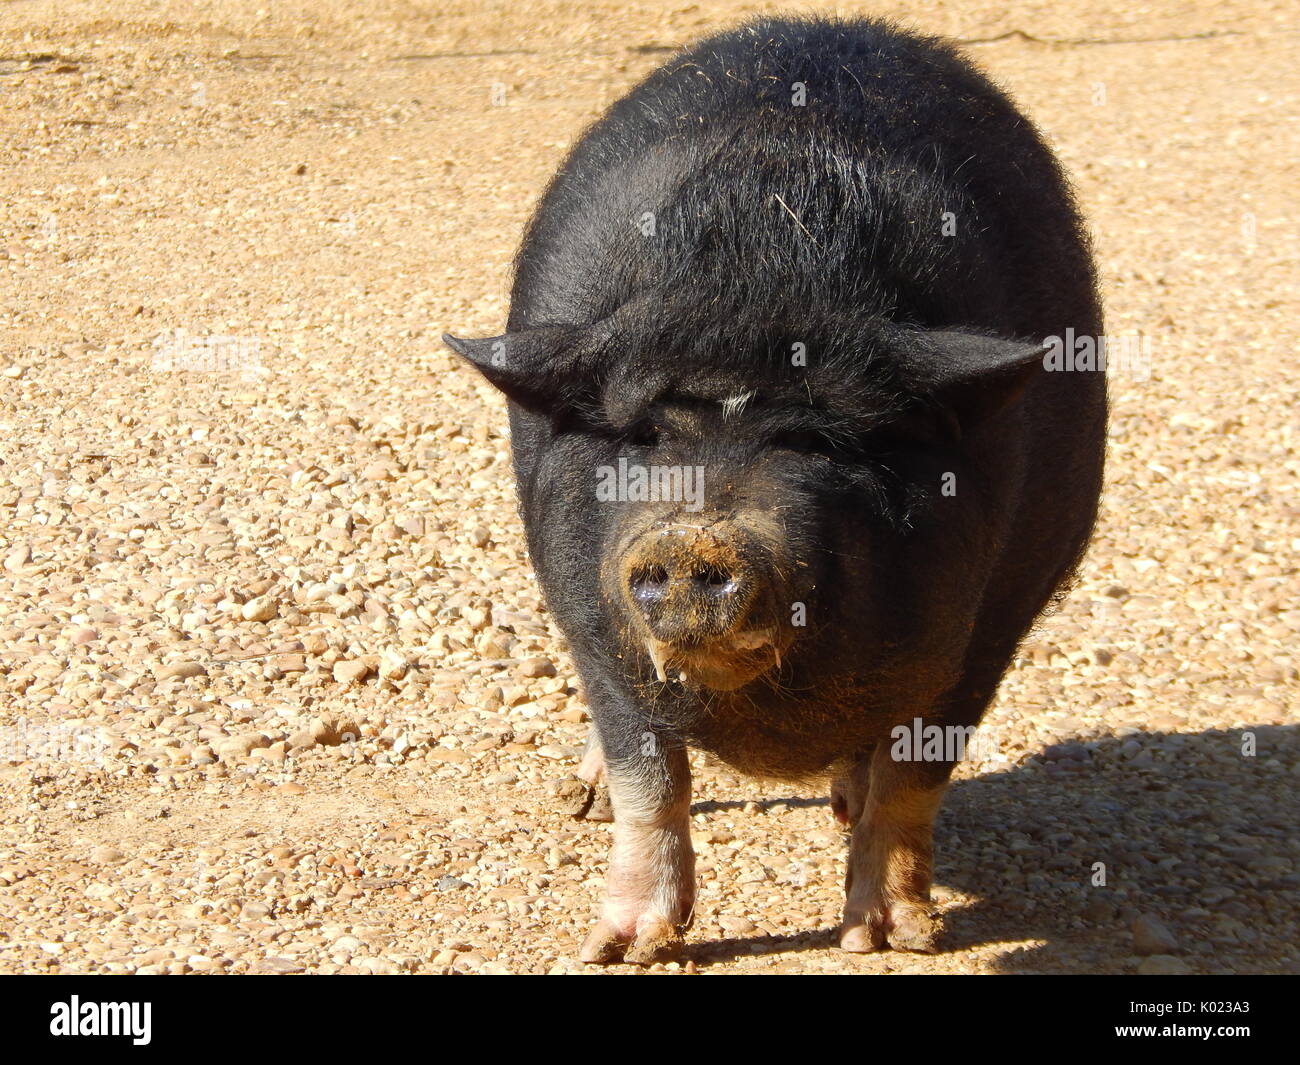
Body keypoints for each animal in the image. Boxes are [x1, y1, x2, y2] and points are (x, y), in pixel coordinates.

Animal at [445, 16, 1106, 964]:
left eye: (817, 441)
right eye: (643, 434)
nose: (695, 537)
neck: (762, 261)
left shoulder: (992, 619)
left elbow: (918, 773)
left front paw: (889, 938)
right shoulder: (583, 606)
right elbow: (649, 770)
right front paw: (620, 950)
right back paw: (585, 804)